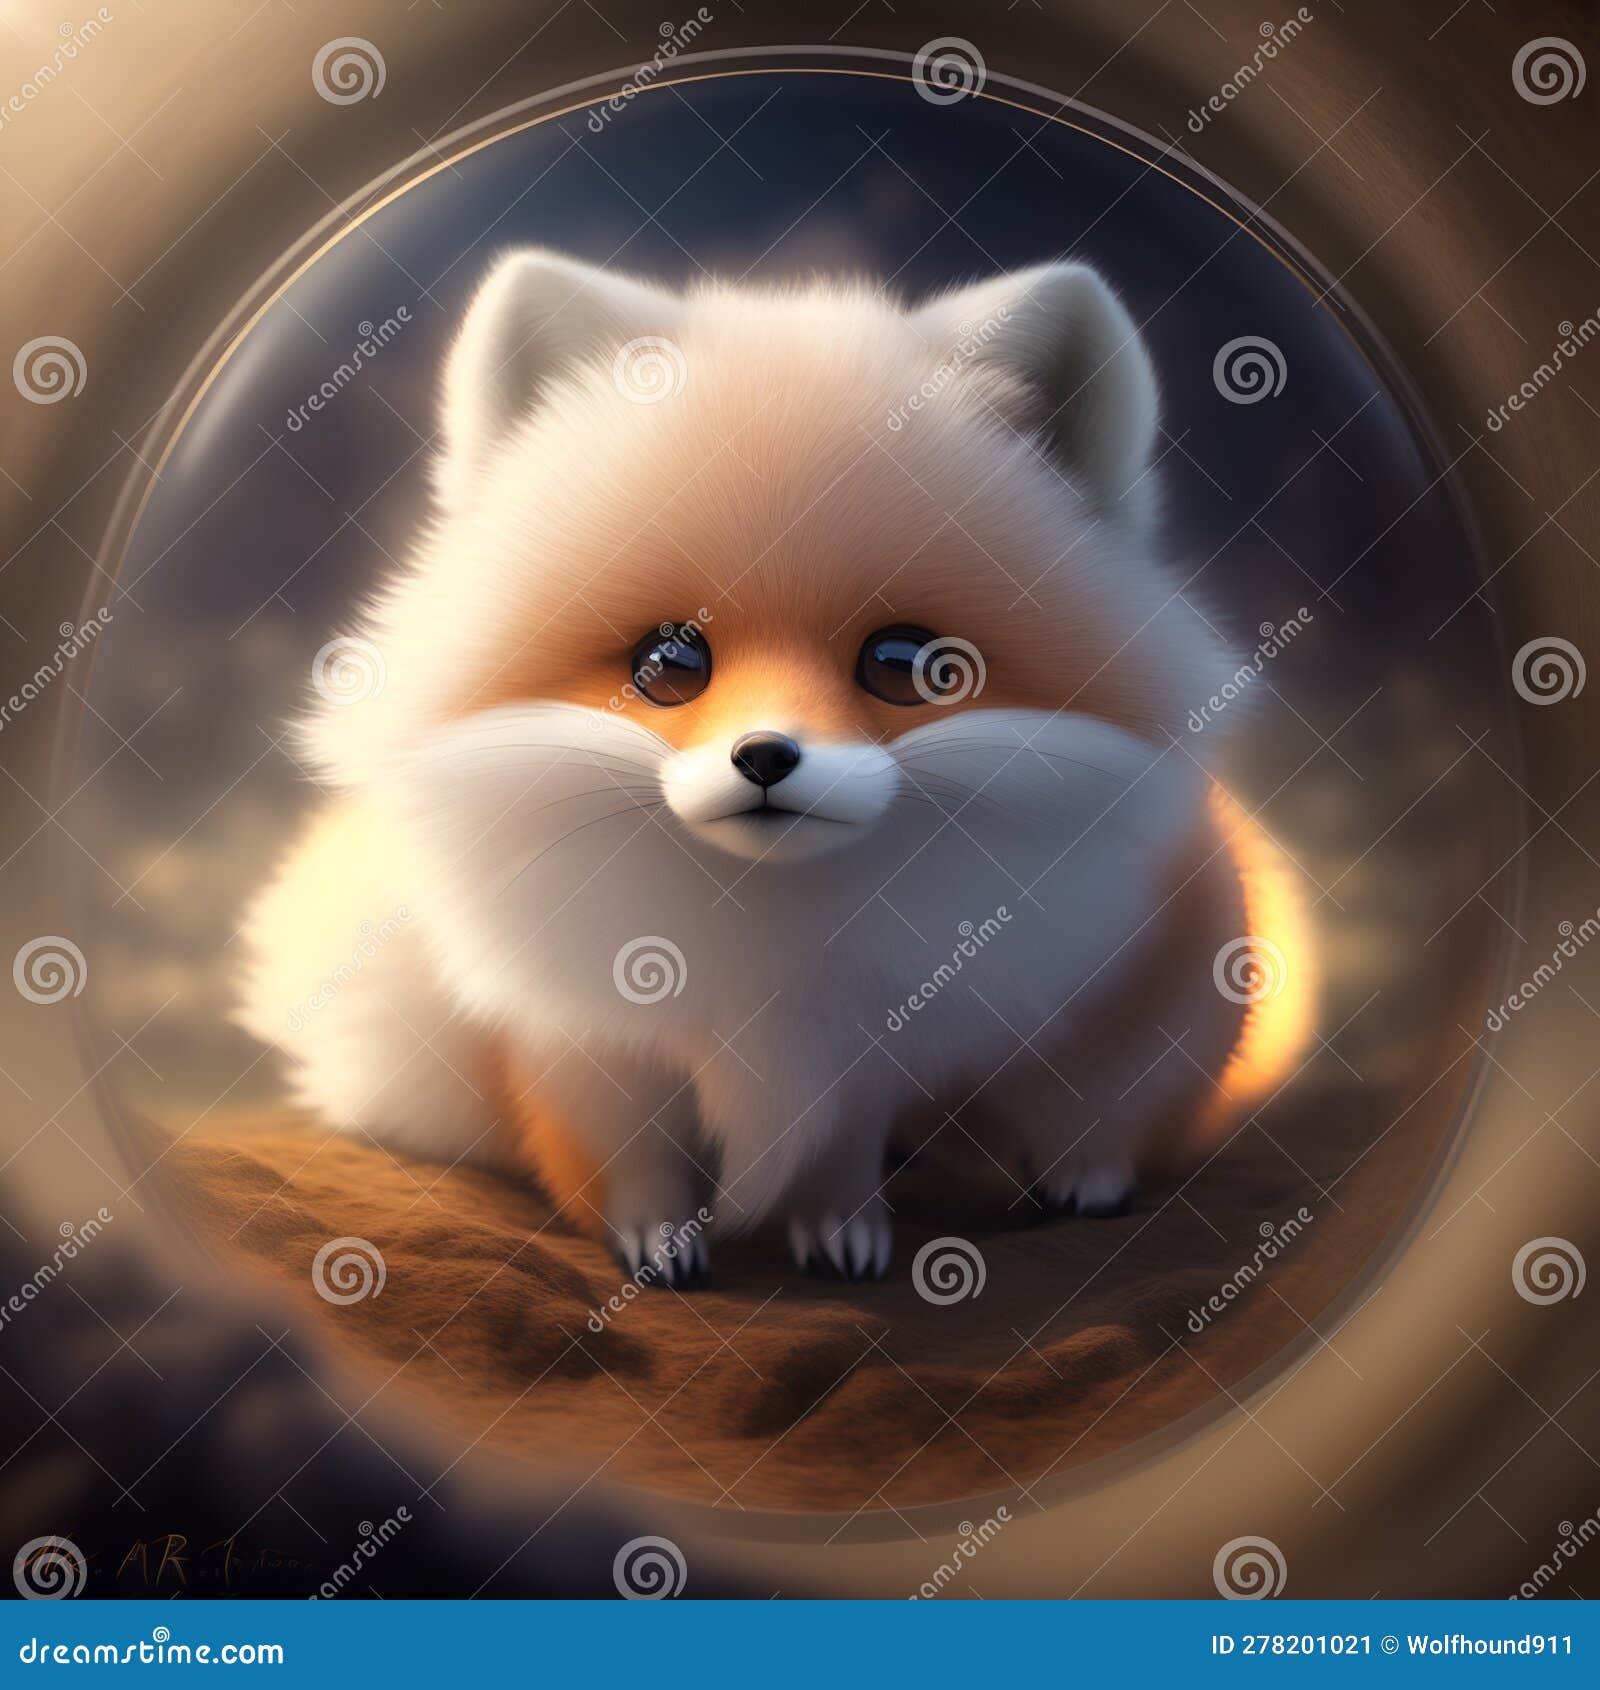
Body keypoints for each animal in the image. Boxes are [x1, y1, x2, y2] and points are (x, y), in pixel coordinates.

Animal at [235, 249, 1313, 1287]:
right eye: (668, 661)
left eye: (907, 663)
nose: (765, 755)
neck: (766, 939)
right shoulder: (577, 1038)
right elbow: (626, 1160)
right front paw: (654, 1243)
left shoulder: (871, 1041)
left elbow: (840, 1155)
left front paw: (842, 1235)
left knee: (1106, 1112)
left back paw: (1080, 1175)